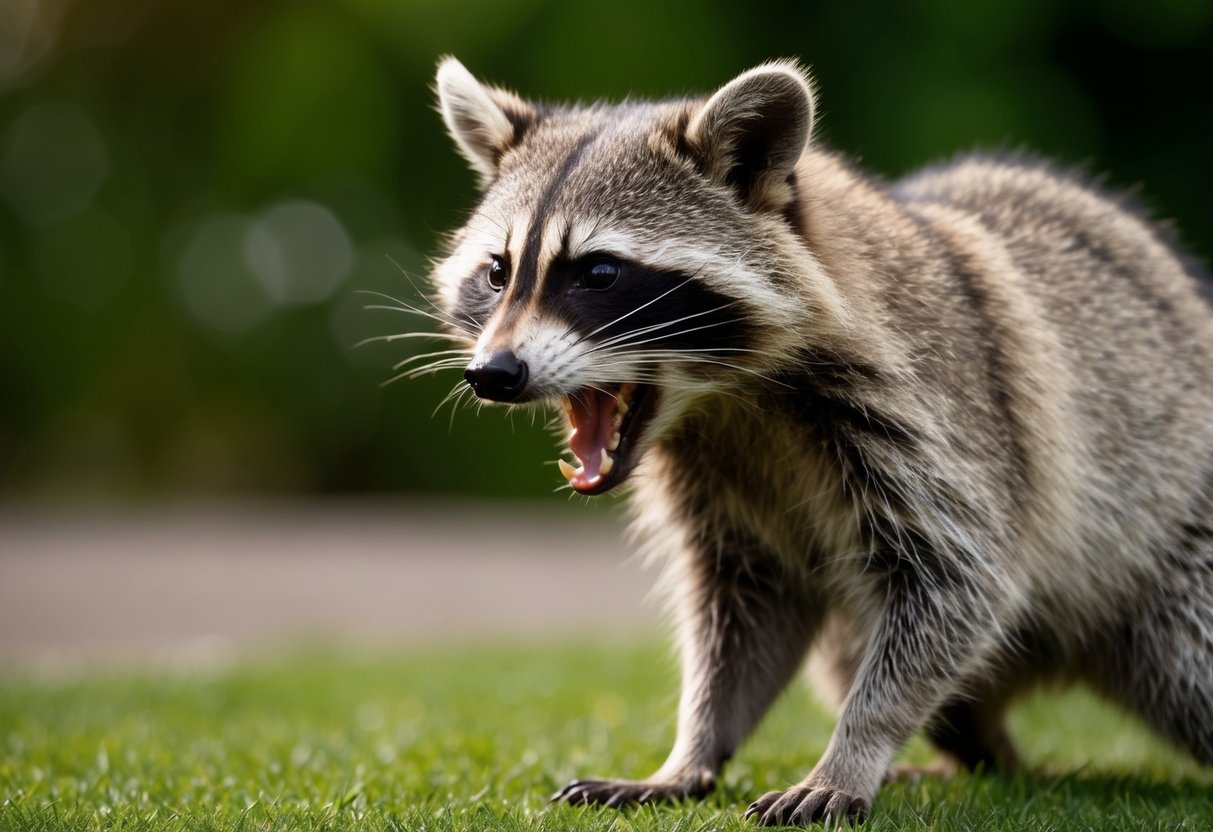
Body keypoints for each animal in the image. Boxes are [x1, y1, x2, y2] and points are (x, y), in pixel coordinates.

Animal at [416, 57, 1213, 825]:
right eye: (497, 272)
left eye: (599, 272)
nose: (492, 374)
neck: (725, 397)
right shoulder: (718, 484)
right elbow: (742, 617)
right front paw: (692, 750)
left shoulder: (942, 418)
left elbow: (958, 581)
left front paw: (852, 750)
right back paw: (978, 758)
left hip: (1178, 556)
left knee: (1187, 660)